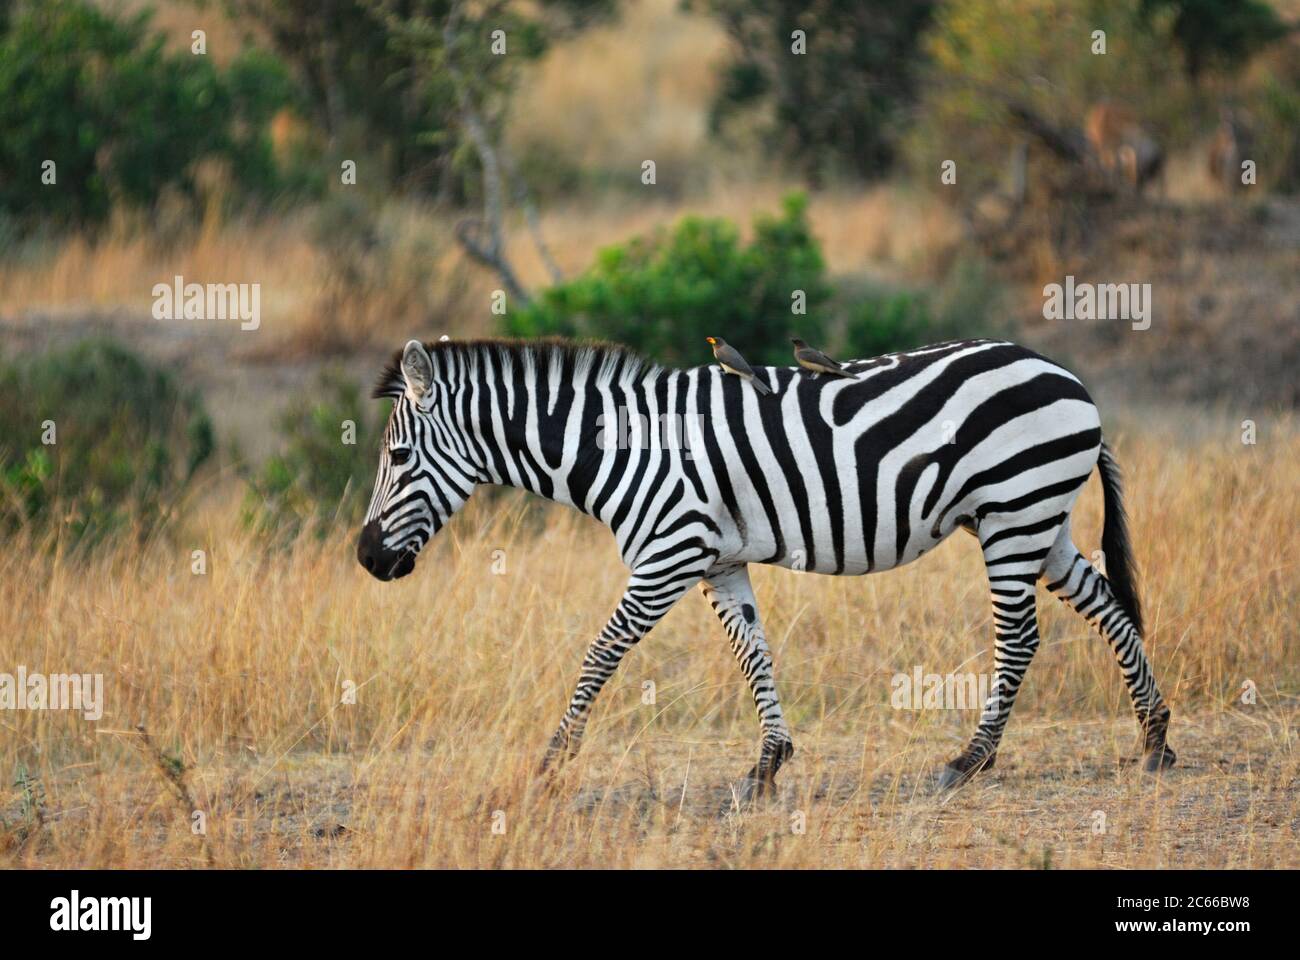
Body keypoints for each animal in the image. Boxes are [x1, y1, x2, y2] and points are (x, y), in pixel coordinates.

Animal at [356, 336, 1175, 796]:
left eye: (397, 456)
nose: (365, 559)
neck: (623, 445)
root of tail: (1067, 376)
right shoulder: (716, 561)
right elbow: (754, 652)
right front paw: (768, 764)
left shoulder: (666, 555)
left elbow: (600, 653)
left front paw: (552, 762)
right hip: (1038, 518)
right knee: (1107, 605)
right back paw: (1155, 740)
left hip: (1012, 515)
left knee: (1020, 639)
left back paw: (970, 761)